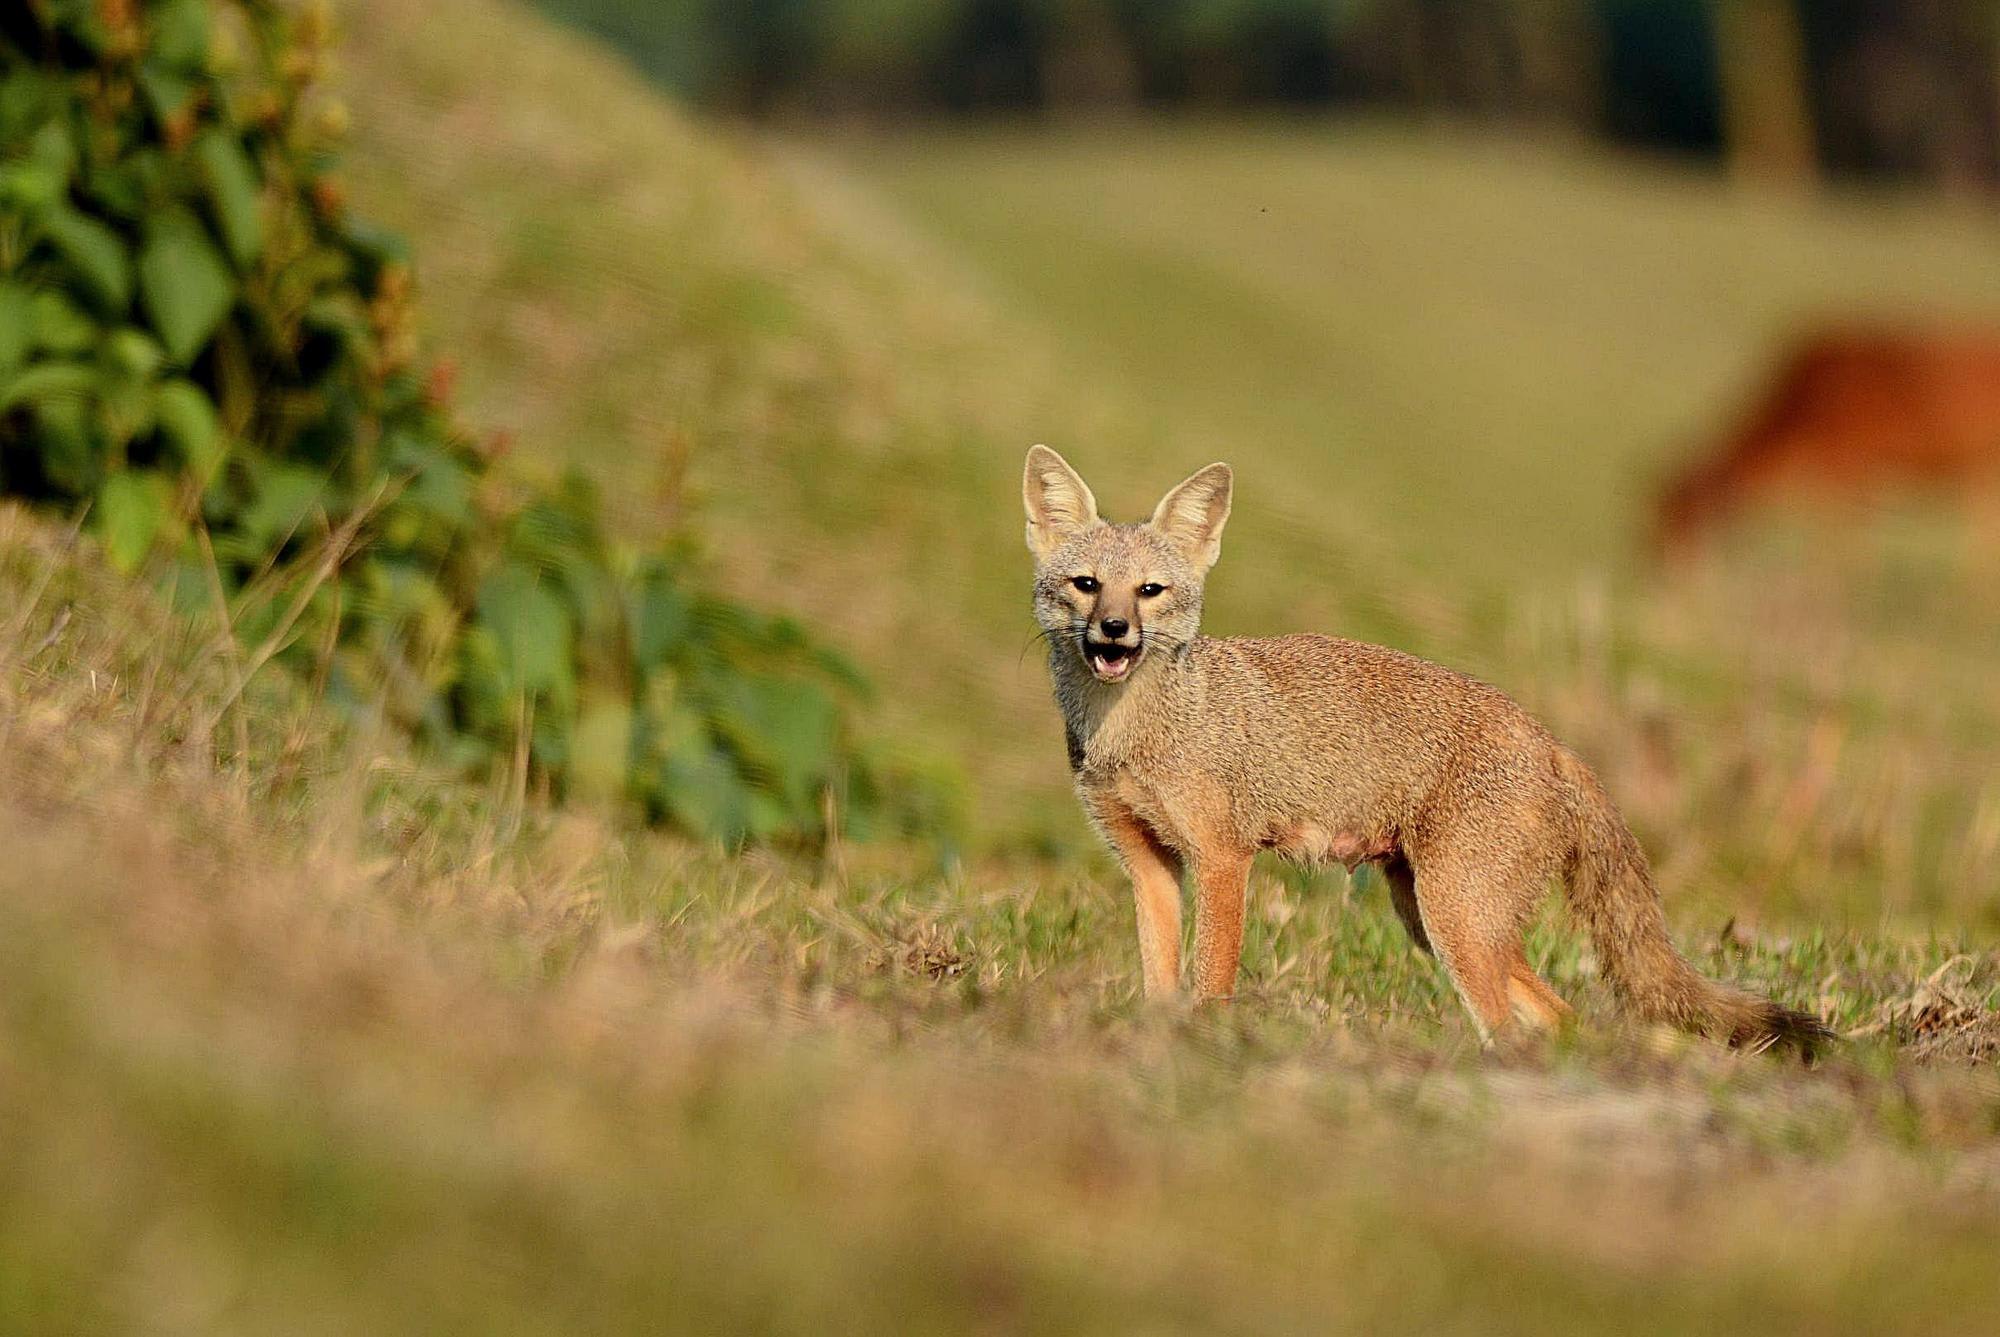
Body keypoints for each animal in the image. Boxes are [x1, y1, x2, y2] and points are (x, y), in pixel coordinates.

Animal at [1024, 444, 1830, 1052]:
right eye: (1087, 585)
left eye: (1150, 591)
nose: (1114, 632)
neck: (1139, 733)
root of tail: (1555, 743)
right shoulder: (1148, 863)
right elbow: (1159, 983)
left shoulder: (1224, 857)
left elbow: (1211, 981)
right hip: (1437, 919)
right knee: (1561, 1018)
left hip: (1457, 922)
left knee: (1516, 1024)